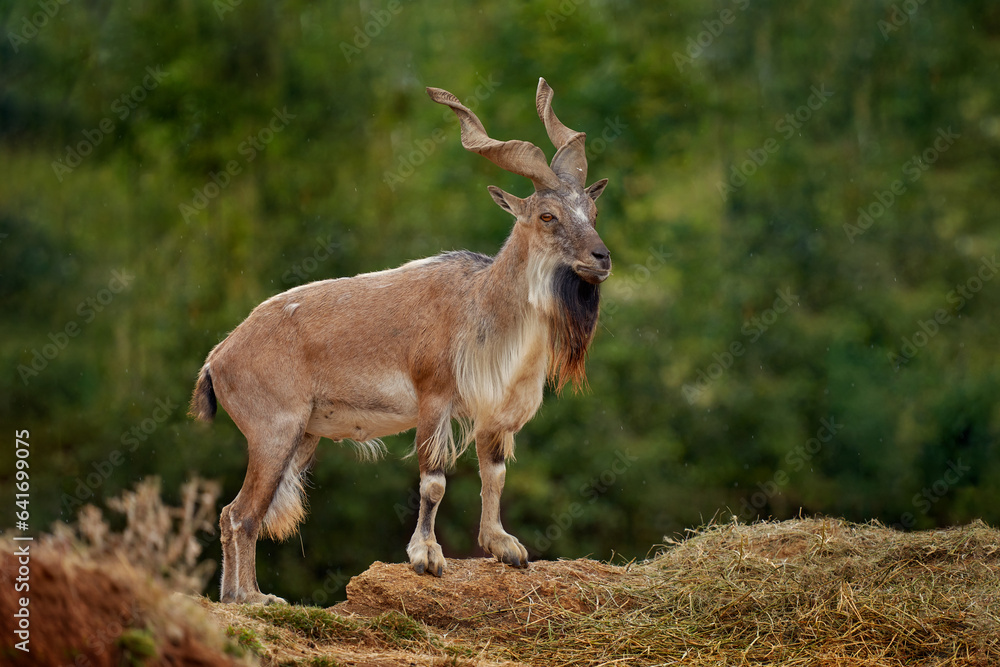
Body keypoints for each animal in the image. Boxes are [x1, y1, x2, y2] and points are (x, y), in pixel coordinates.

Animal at [190, 78, 612, 604]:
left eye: (591, 209)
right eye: (548, 216)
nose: (601, 257)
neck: (482, 307)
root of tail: (217, 358)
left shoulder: (494, 414)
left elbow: (493, 475)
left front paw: (504, 547)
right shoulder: (434, 399)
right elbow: (433, 481)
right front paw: (426, 556)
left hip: (302, 436)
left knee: (239, 513)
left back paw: (241, 596)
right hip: (272, 431)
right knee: (240, 513)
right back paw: (251, 598)